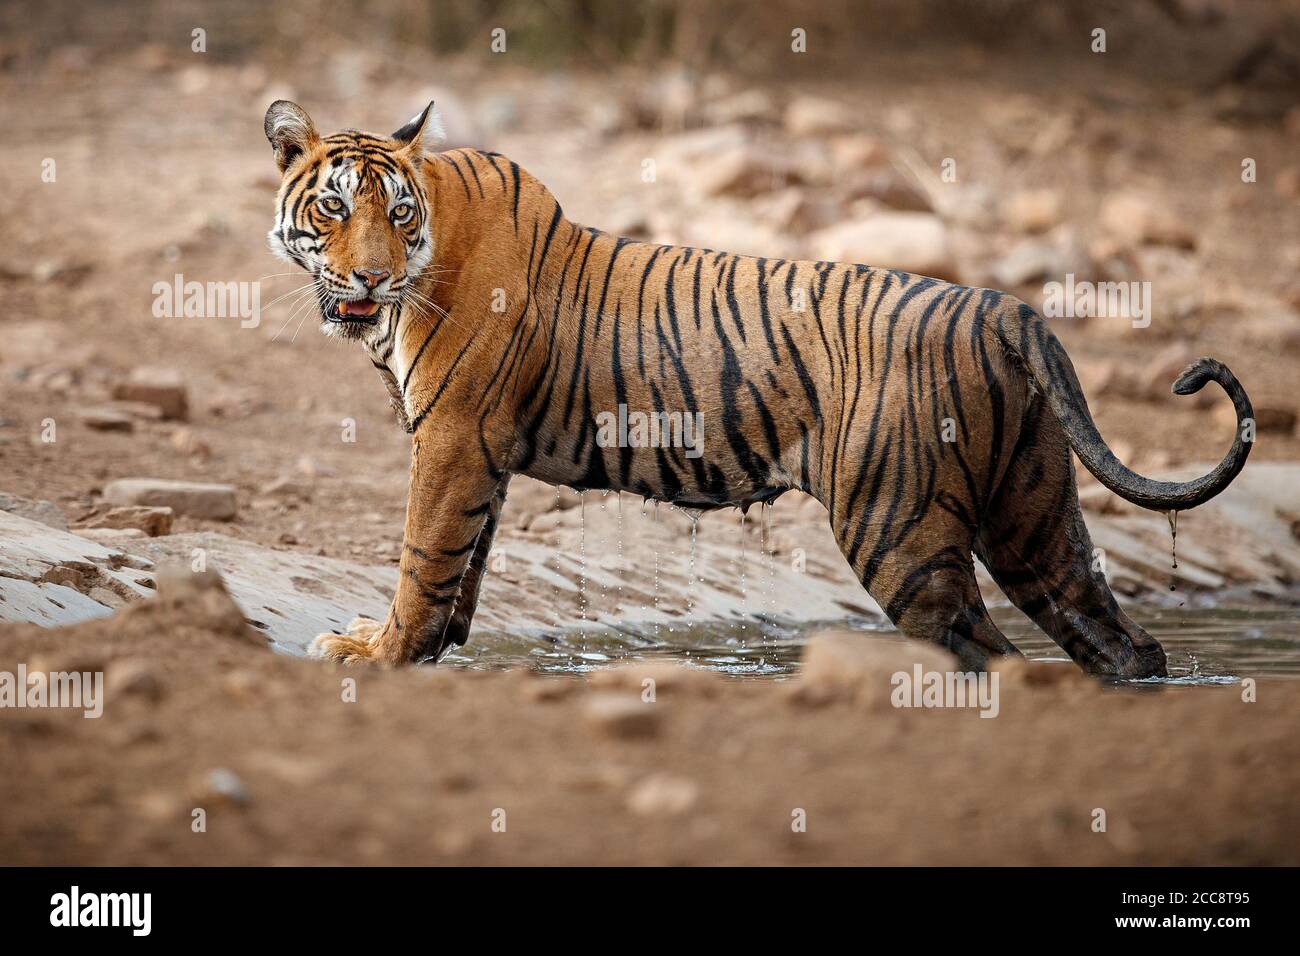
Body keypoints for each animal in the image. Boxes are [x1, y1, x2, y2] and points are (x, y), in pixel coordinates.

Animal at [264, 99, 1253, 677]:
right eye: (333, 207)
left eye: (396, 215)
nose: (370, 277)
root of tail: (1002, 307)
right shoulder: (483, 453)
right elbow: (462, 567)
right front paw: (429, 648)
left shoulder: (454, 439)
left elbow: (424, 556)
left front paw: (376, 653)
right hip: (1035, 516)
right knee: (1124, 643)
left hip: (898, 531)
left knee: (994, 652)